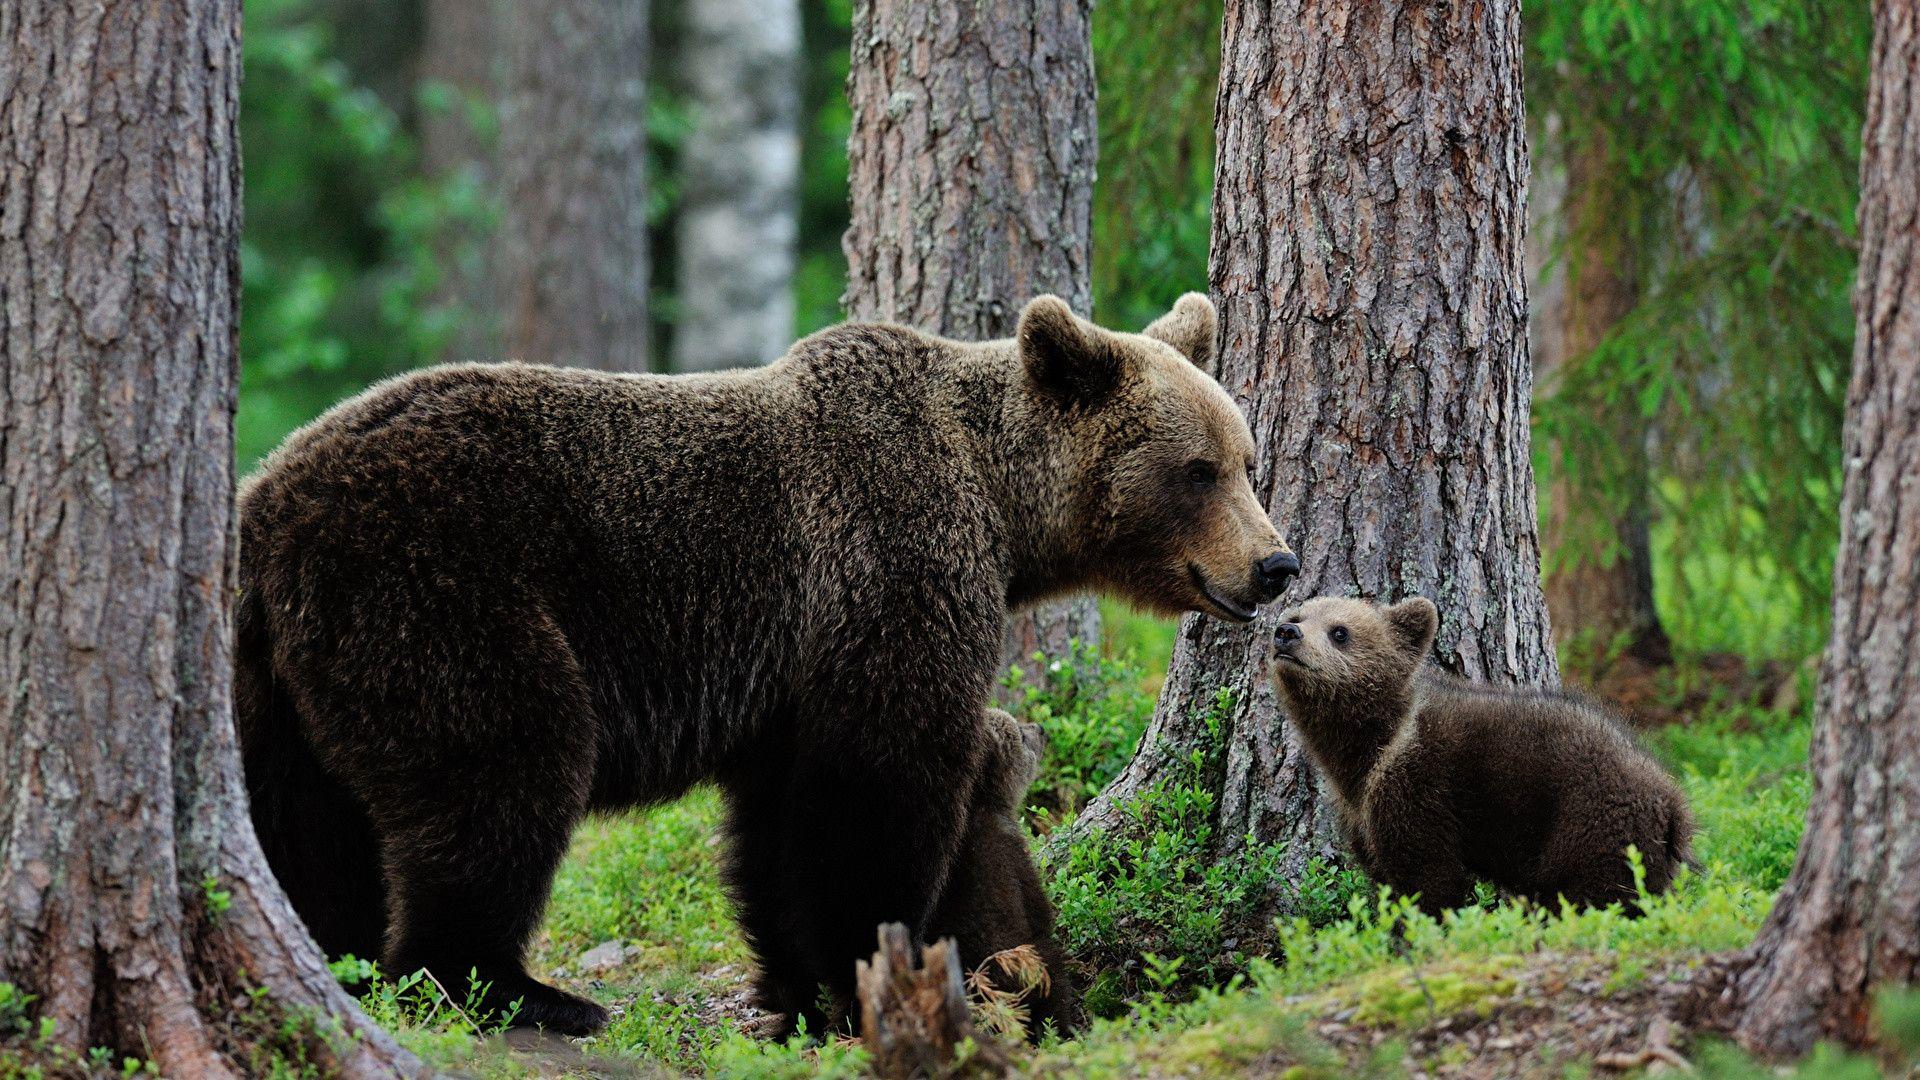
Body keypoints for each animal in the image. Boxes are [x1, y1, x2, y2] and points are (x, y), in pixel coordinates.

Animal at [1266, 596, 1694, 917]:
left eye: (1340, 631)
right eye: (1298, 615)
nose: (1287, 633)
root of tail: (1673, 802)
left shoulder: (1420, 788)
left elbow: (1428, 877)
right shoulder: (1361, 812)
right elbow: (1385, 874)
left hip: (1590, 824)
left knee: (1592, 897)